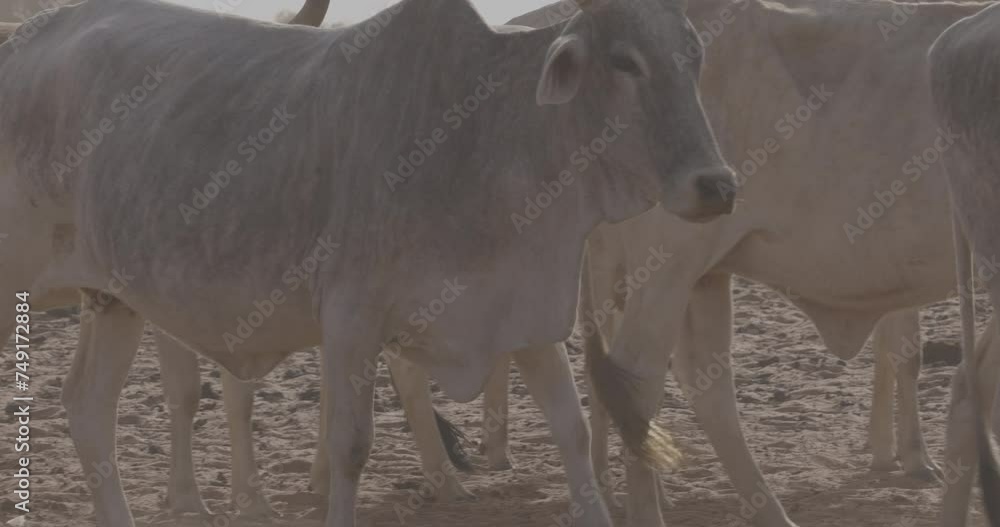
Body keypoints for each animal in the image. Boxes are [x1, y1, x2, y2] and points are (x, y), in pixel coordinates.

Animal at [0, 1, 736, 526]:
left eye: (694, 56)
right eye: (625, 61)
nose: (718, 185)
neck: (485, 137)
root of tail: (24, 39)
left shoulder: (522, 317)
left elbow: (575, 434)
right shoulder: (352, 319)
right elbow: (351, 446)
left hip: (112, 298)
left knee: (88, 409)